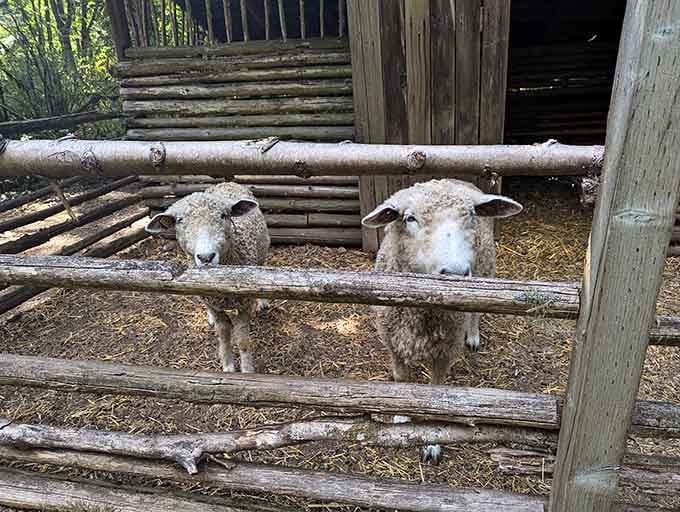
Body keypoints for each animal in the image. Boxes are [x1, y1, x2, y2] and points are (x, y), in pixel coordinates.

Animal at [145, 182, 270, 373]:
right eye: (179, 220)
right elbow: (223, 334)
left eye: (223, 215)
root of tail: (227, 182)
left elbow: (242, 340)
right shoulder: (213, 302)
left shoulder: (244, 304)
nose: (206, 257)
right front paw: (228, 366)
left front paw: (247, 370)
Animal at [361, 178, 523, 463]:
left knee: (477, 310)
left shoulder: (446, 350)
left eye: (471, 215)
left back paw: (473, 336)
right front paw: (402, 417)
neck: (424, 312)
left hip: (485, 270)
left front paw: (432, 443)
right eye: (410, 218)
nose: (456, 273)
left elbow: (437, 393)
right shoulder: (394, 343)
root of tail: (452, 180)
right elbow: (402, 382)